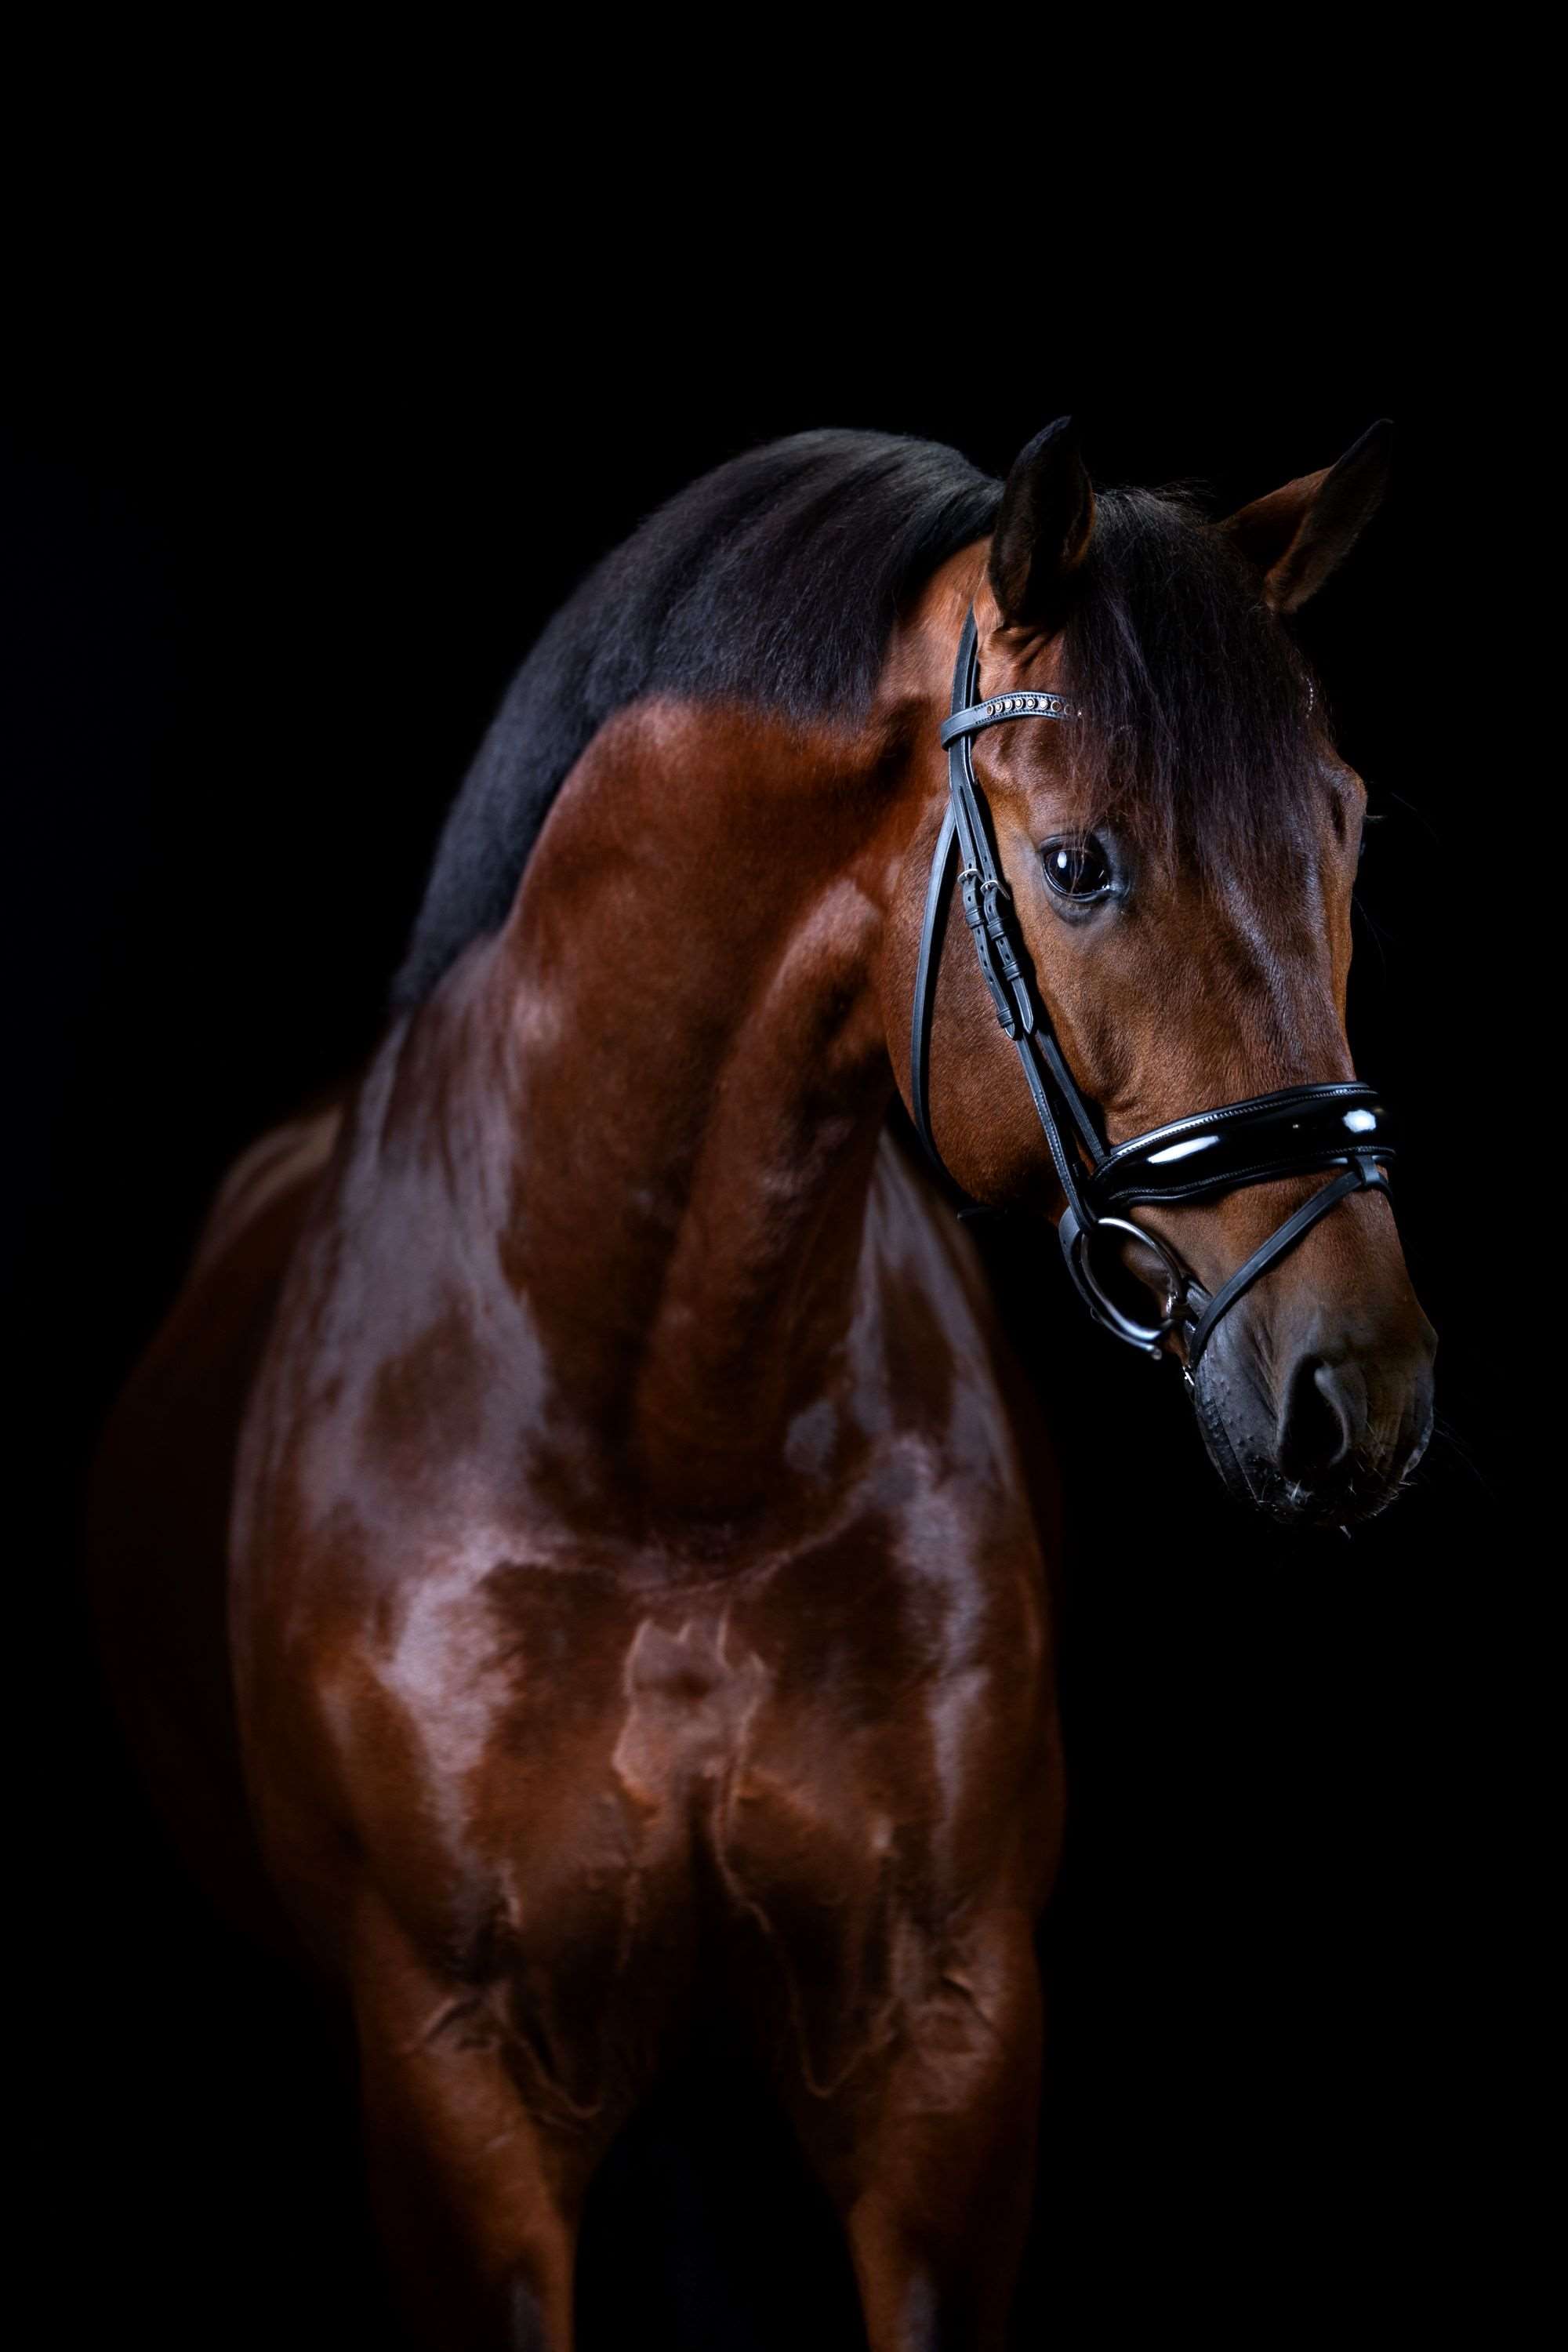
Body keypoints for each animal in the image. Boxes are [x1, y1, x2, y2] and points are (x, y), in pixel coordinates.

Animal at [88, 418, 1436, 2349]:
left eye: (1337, 827)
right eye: (1080, 865)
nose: (1358, 1387)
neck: (675, 1460)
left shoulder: (945, 2050)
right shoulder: (450, 2092)